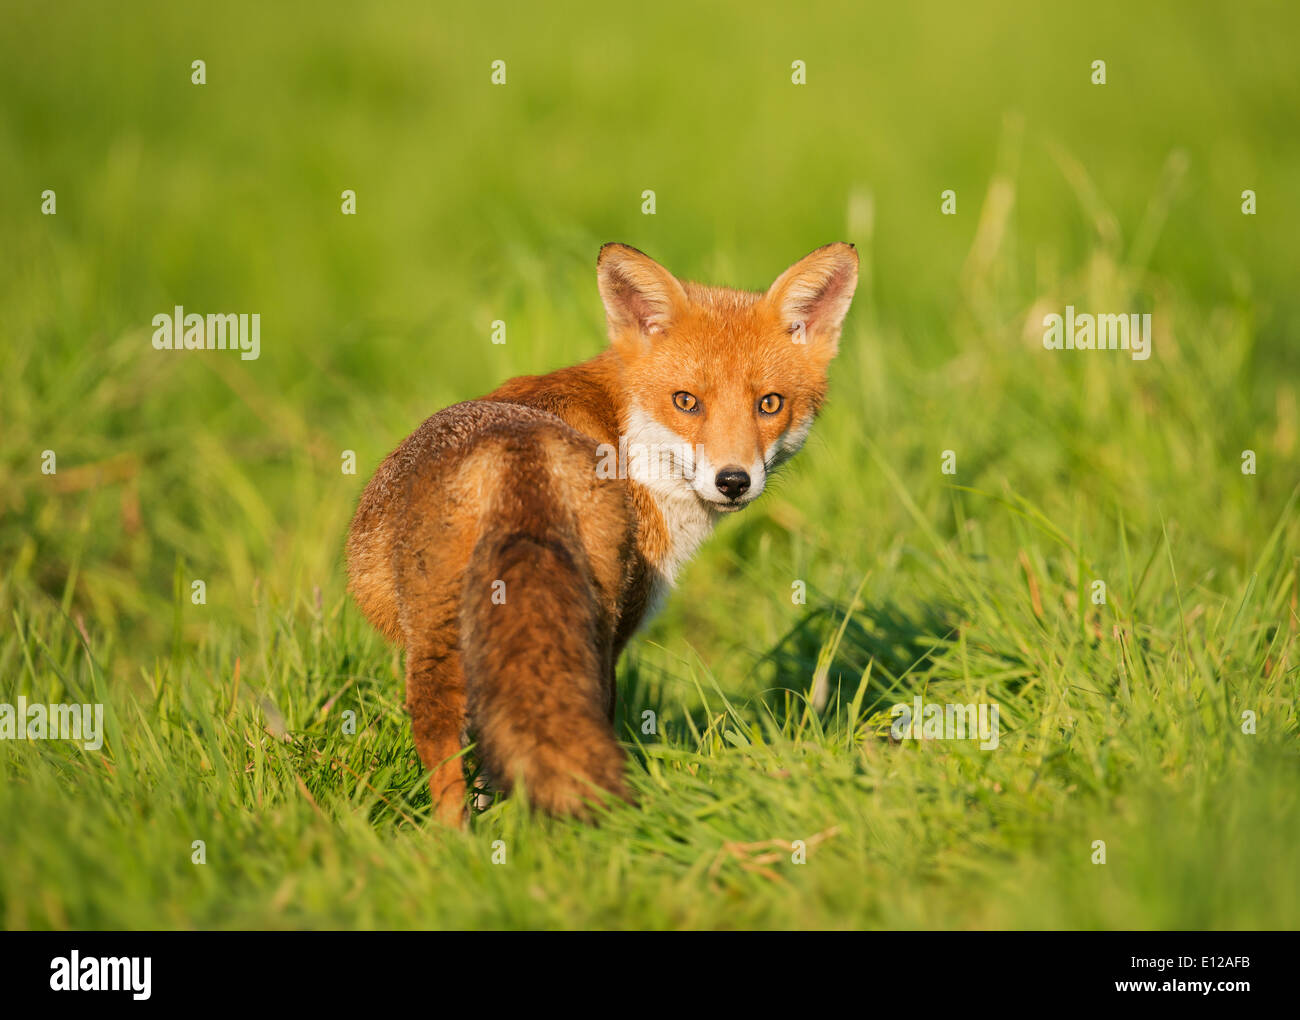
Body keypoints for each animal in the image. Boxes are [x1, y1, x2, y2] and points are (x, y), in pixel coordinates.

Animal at [346, 241, 858, 825]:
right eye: (686, 401)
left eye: (769, 403)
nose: (733, 481)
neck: (626, 436)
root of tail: (515, 455)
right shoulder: (622, 625)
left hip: (444, 636)